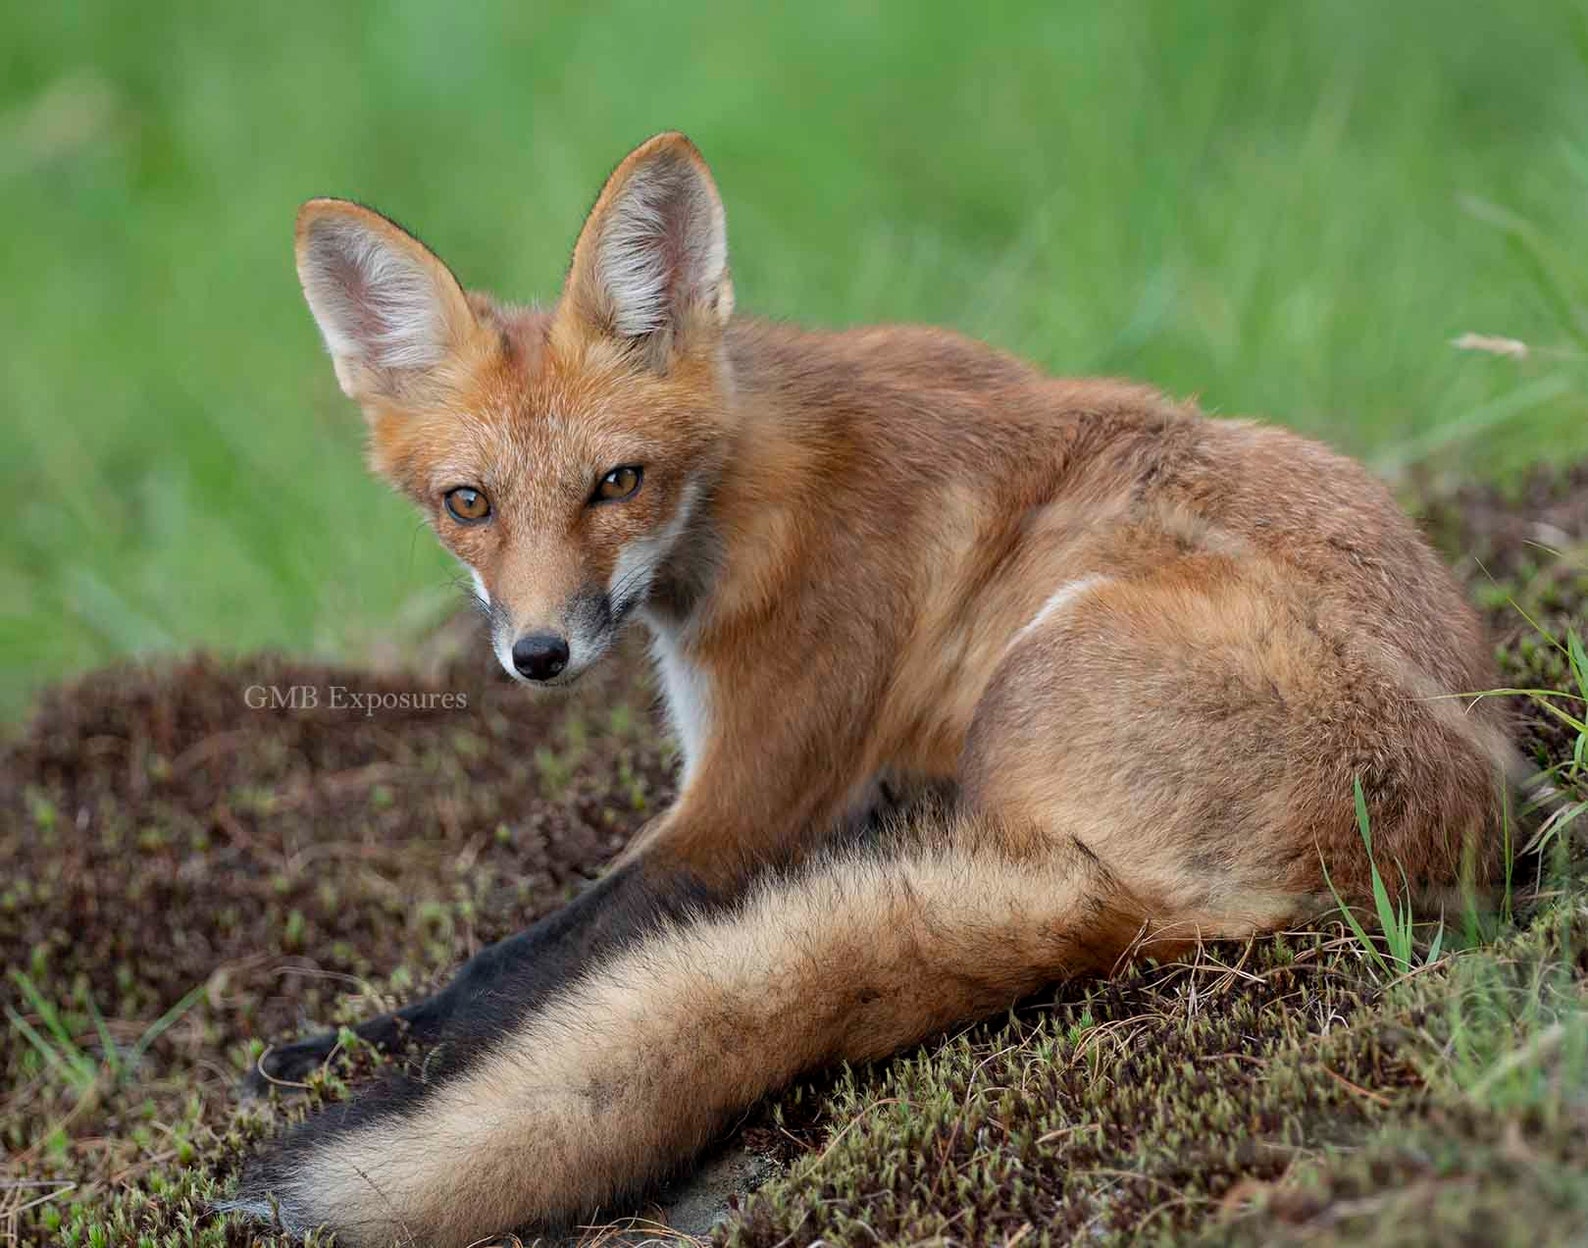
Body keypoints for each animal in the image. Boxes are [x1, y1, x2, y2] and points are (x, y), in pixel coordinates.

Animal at [232, 132, 1516, 1246]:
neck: (746, 490)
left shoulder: (746, 803)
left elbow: (516, 959)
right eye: (468, 504)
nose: (539, 653)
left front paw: (355, 1046)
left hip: (1037, 670)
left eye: (617, 482)